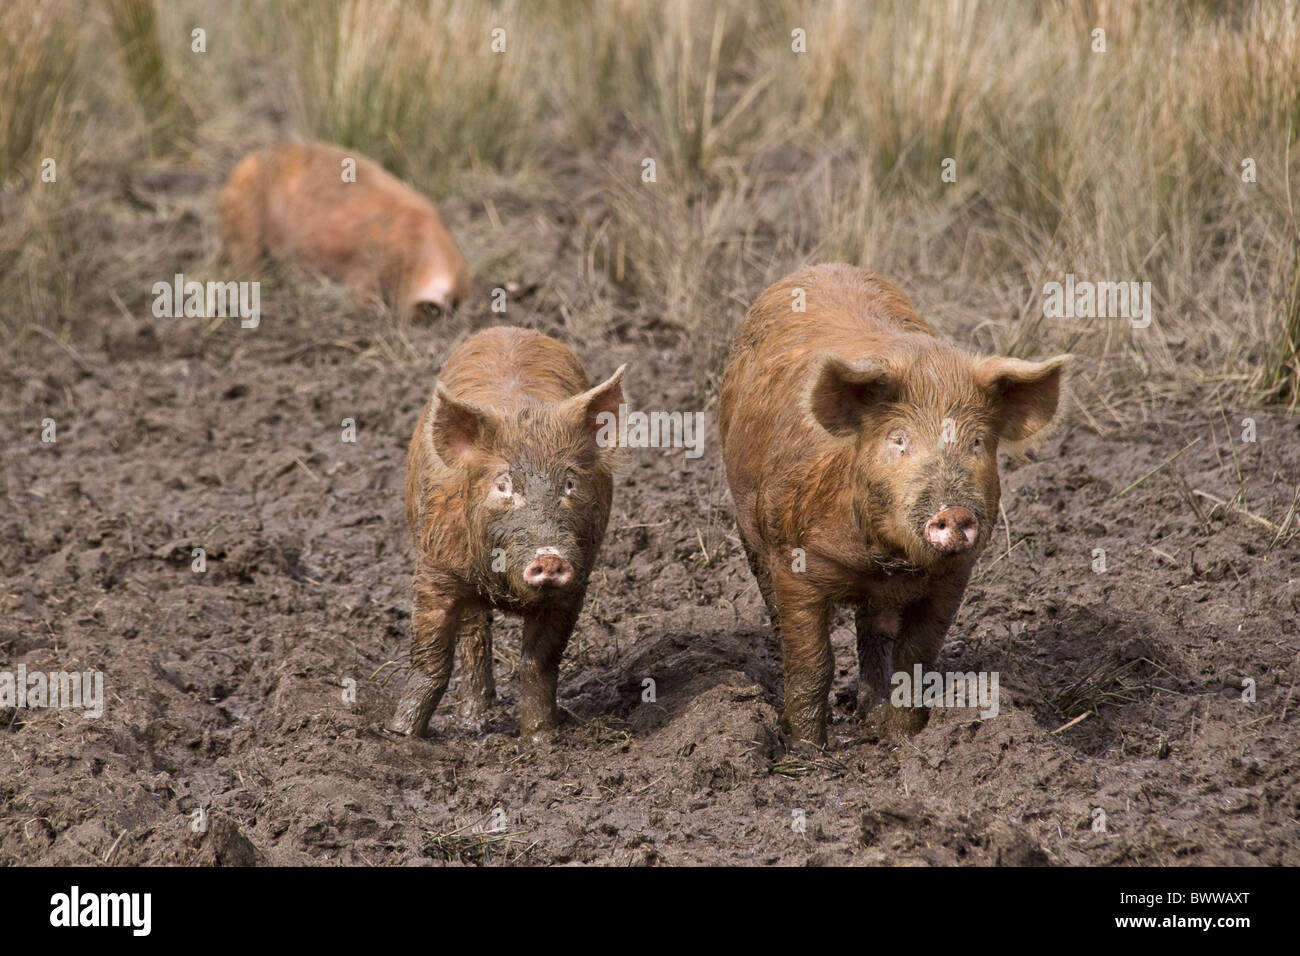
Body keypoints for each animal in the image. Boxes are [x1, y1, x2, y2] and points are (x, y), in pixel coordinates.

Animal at [387, 325, 626, 739]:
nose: (549, 557)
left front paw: (541, 739)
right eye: (503, 485)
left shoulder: (575, 585)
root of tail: (508, 329)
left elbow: (539, 663)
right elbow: (431, 659)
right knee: (474, 635)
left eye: (570, 483)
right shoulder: (434, 569)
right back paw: (473, 722)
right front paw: (399, 734)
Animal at [718, 263, 1070, 748]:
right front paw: (808, 751)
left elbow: (916, 658)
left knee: (874, 637)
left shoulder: (953, 577)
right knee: (777, 614)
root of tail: (822, 265)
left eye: (978, 442)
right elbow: (812, 663)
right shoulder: (794, 560)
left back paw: (871, 724)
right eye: (898, 439)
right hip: (749, 528)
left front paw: (904, 742)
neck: (885, 559)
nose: (953, 513)